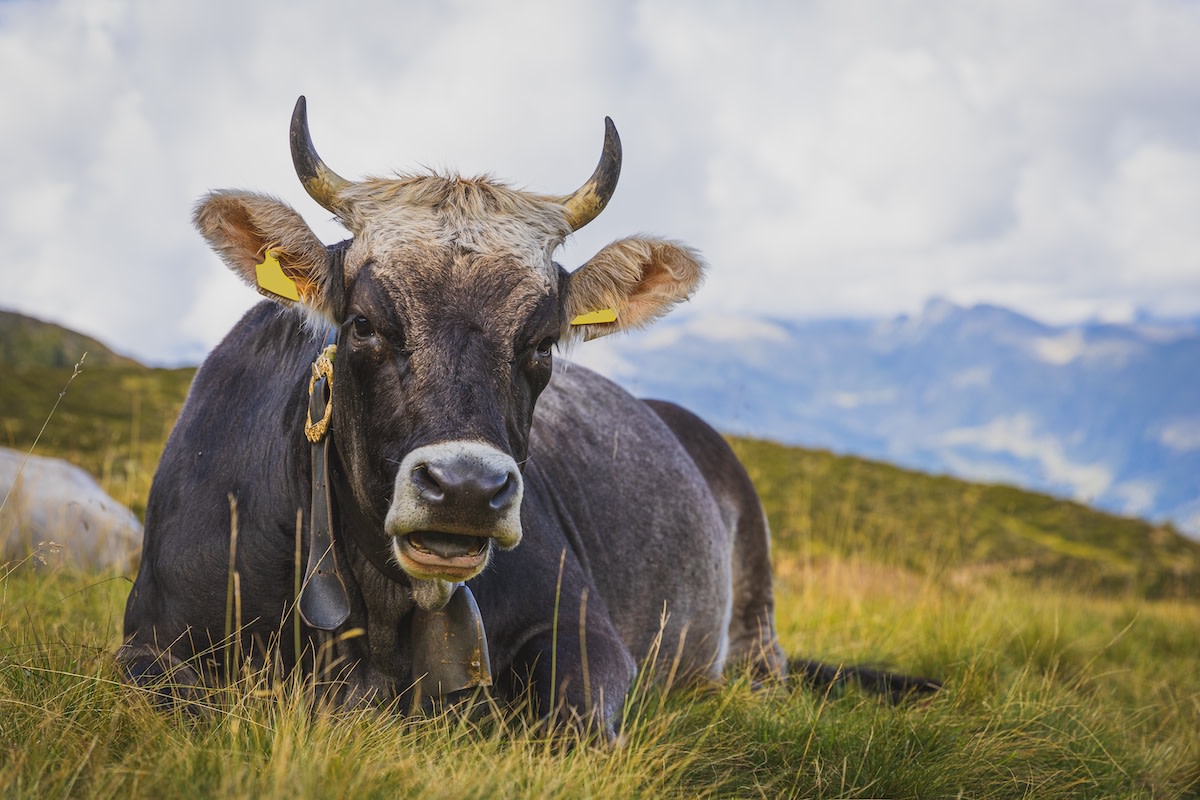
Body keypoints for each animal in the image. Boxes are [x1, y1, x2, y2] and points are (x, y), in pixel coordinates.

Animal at [120, 98, 935, 736]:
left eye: (542, 342)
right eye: (361, 324)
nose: (466, 490)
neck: (379, 615)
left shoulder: (584, 630)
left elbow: (569, 726)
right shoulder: (151, 645)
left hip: (756, 627)